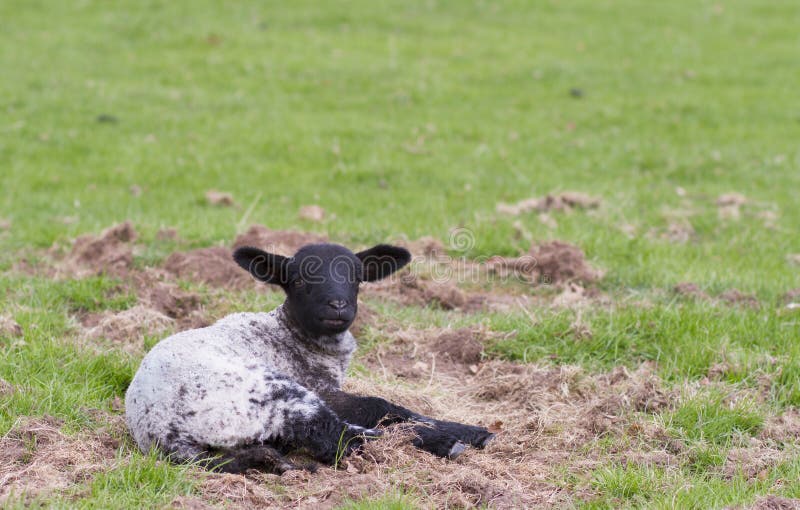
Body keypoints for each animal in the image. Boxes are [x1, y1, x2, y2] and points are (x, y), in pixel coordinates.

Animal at [125, 242, 493, 473]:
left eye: (357, 278)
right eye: (300, 279)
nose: (338, 306)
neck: (292, 335)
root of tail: (164, 433)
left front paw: (472, 431)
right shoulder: (317, 387)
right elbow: (380, 405)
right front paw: (460, 434)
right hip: (271, 395)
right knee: (338, 439)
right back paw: (437, 443)